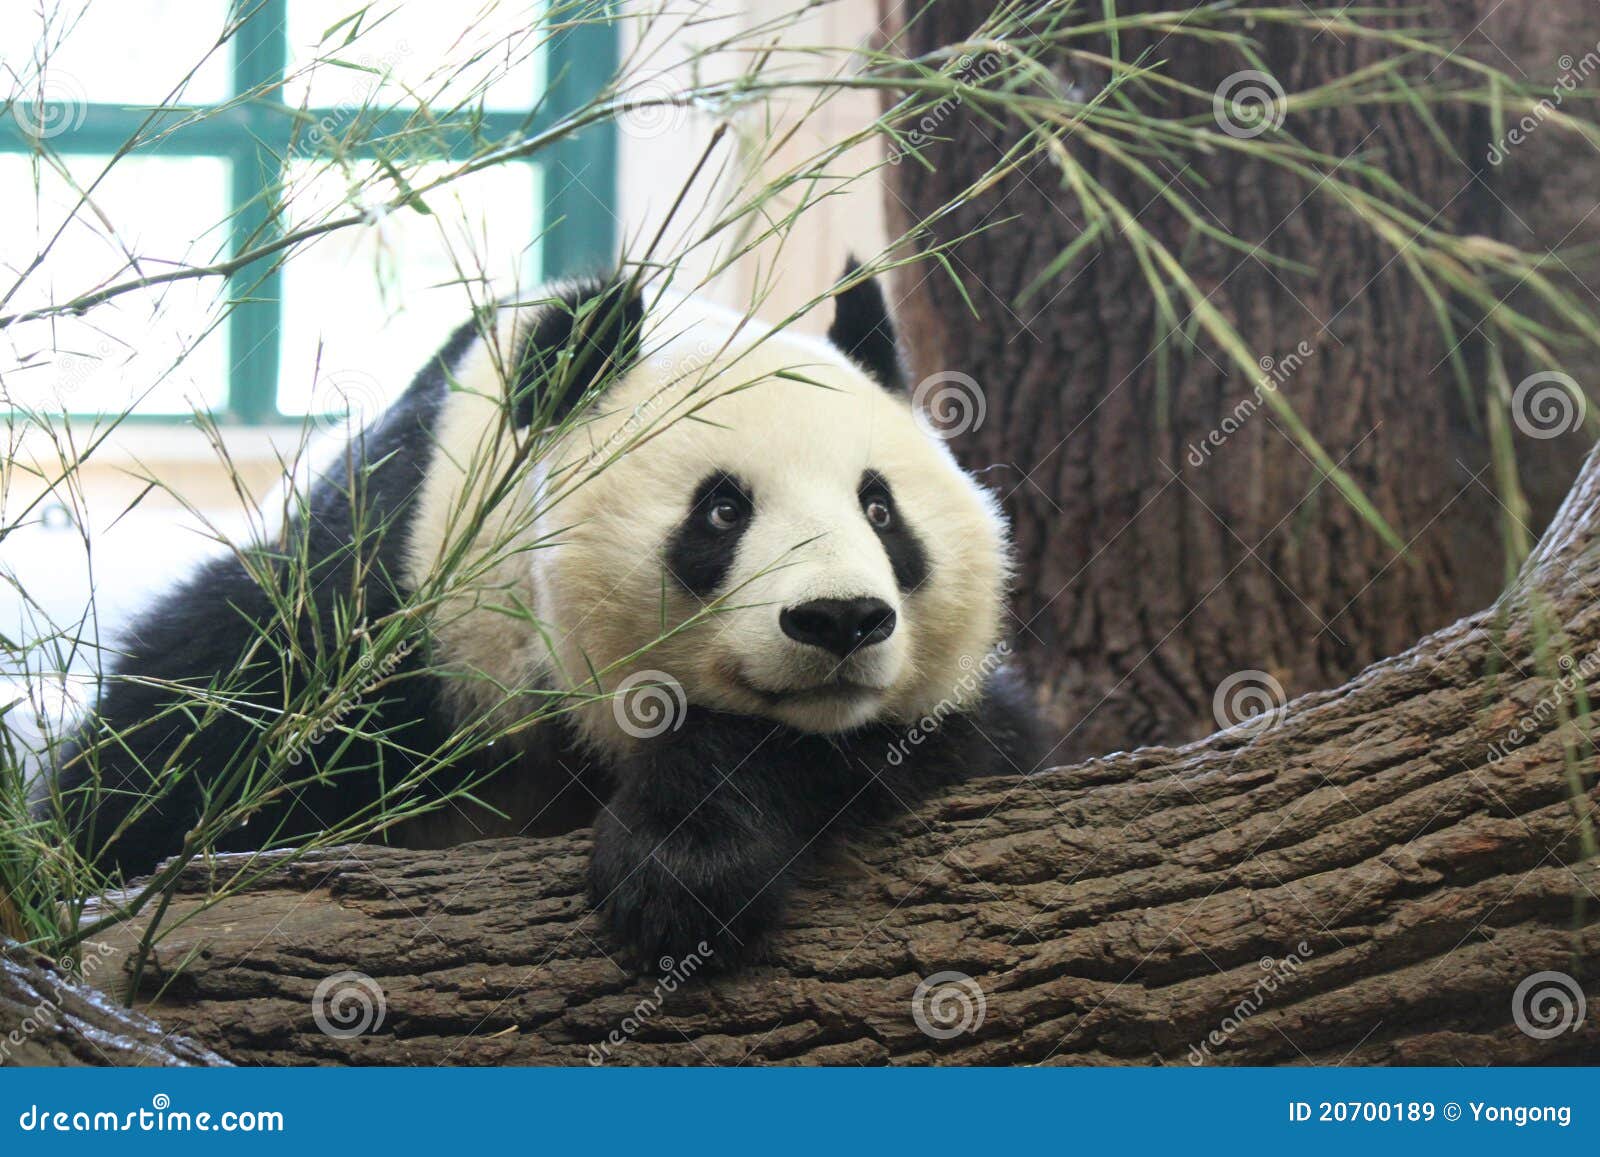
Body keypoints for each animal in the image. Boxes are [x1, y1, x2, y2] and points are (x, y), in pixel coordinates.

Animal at [52, 263, 1043, 963]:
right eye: (723, 509)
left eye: (880, 509)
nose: (840, 620)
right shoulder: (388, 591)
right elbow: (180, 740)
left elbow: (938, 748)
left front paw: (683, 869)